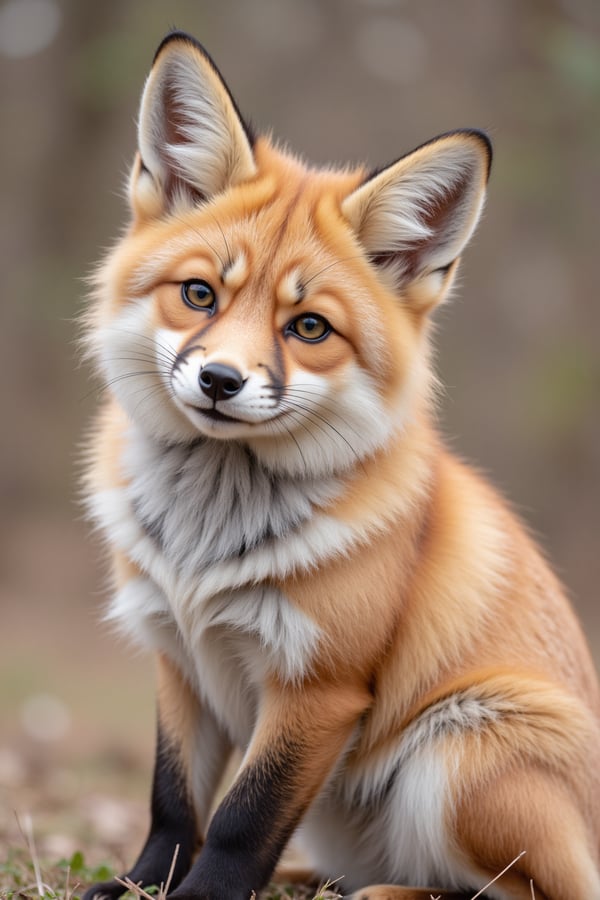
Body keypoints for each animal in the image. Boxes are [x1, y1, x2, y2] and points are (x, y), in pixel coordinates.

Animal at [82, 29, 600, 900]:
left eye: (309, 328)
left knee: (529, 890)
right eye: (199, 295)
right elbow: (173, 801)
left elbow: (243, 816)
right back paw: (315, 882)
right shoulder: (178, 657)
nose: (219, 380)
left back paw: (384, 894)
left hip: (462, 749)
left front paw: (206, 896)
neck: (201, 554)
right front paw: (144, 884)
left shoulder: (318, 687)